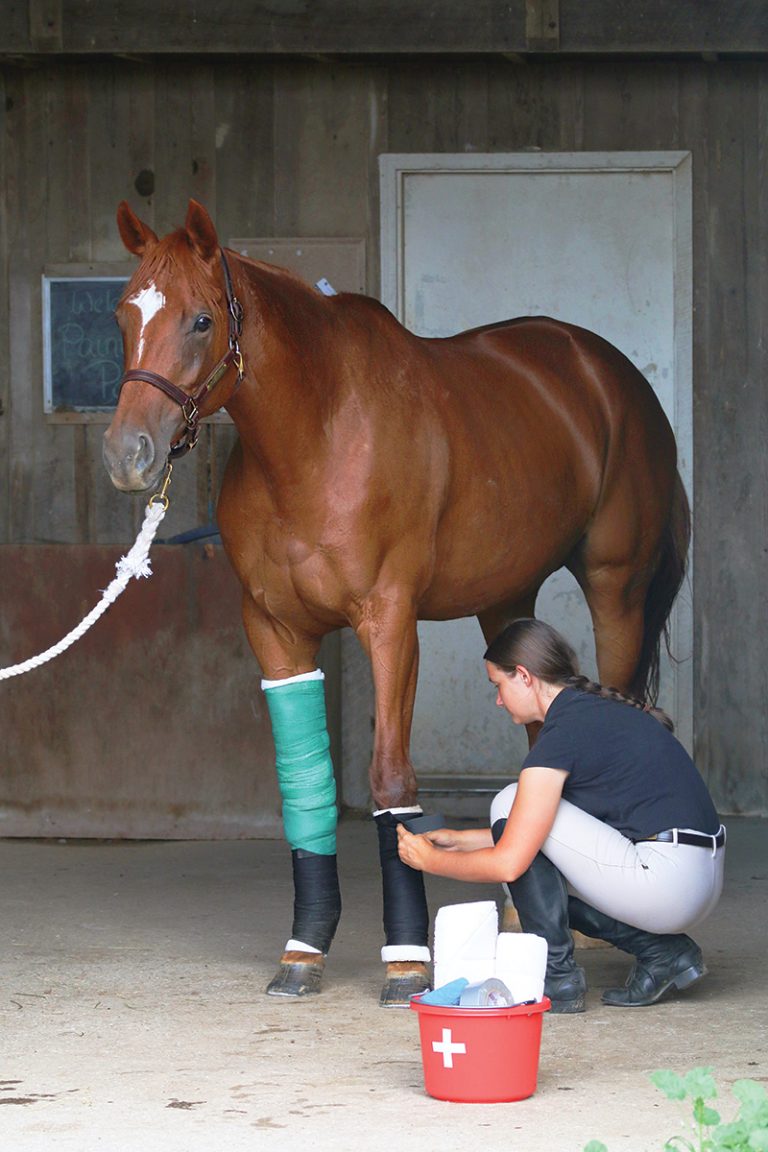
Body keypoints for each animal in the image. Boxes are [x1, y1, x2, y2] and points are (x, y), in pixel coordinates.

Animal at [103, 199, 690, 1007]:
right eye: (123, 313)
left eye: (199, 320)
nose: (127, 453)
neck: (316, 433)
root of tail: (608, 371)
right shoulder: (275, 630)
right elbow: (305, 789)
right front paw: (304, 949)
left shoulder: (389, 621)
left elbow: (390, 777)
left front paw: (406, 960)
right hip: (506, 600)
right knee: (539, 747)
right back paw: (525, 920)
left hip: (616, 586)